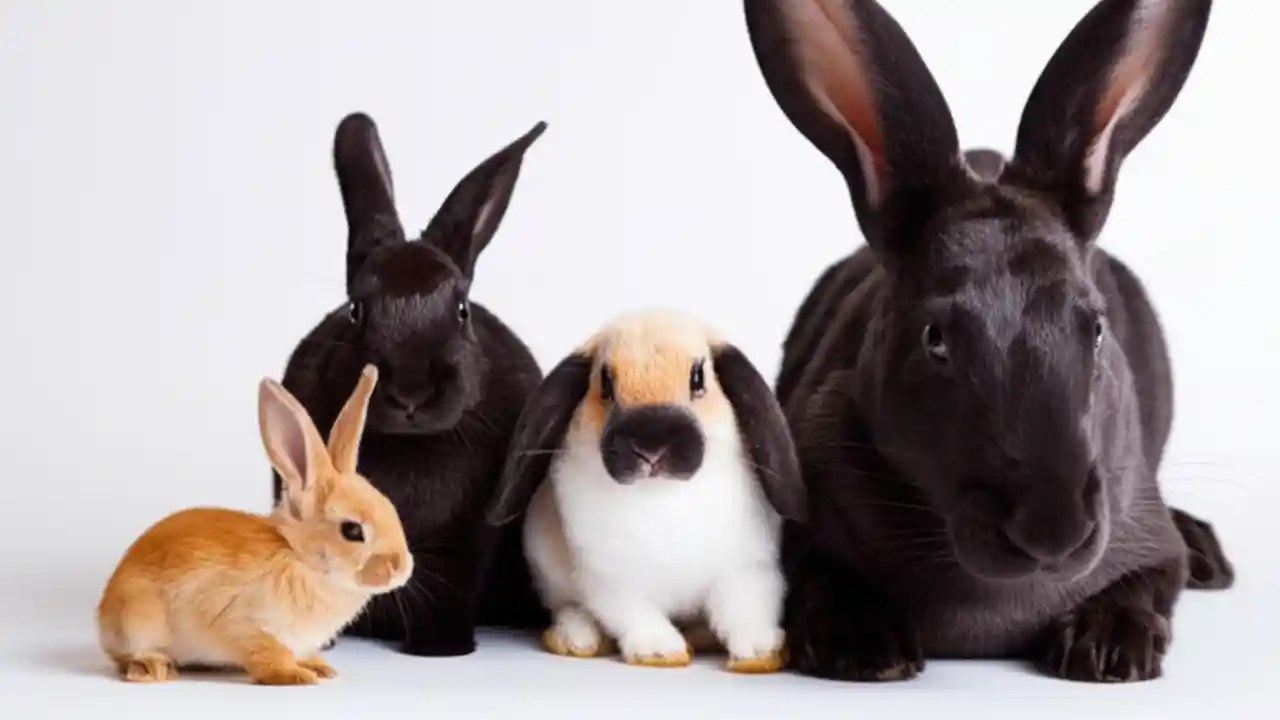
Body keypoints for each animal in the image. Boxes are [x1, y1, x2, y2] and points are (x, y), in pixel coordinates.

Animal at [98, 365, 412, 684]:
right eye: (352, 530)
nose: (401, 567)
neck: (302, 559)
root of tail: (103, 613)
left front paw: (319, 668)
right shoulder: (244, 623)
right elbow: (268, 654)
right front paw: (295, 676)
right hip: (137, 619)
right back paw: (153, 668)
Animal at [274, 113, 547, 657]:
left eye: (461, 311)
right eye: (356, 312)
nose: (410, 393)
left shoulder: (466, 542)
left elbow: (447, 588)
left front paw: (443, 649)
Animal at [487, 309, 806, 673]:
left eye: (698, 378)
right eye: (605, 383)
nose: (651, 445)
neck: (660, 494)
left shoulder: (748, 569)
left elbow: (746, 608)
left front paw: (760, 654)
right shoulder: (611, 581)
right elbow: (635, 615)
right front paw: (660, 652)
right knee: (570, 608)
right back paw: (577, 638)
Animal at [743, 0, 1232, 683]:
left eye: (1096, 329)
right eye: (936, 339)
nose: (1052, 531)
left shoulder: (1145, 535)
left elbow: (1150, 578)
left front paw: (1110, 646)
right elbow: (820, 576)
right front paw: (865, 646)